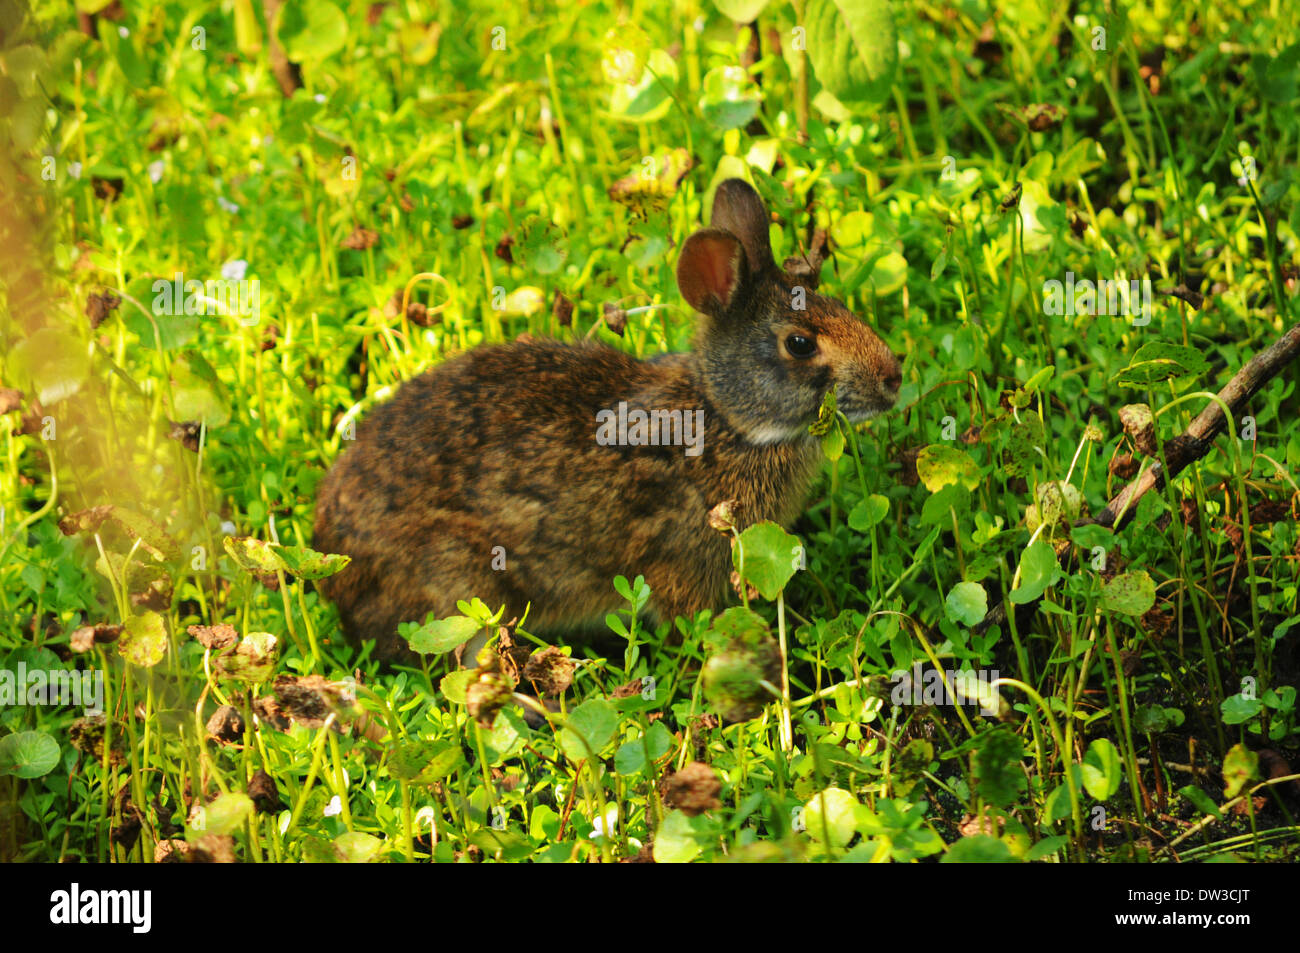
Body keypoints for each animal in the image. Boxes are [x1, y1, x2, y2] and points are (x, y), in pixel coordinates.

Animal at [313, 178, 902, 663]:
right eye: (800, 344)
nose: (893, 377)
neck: (725, 417)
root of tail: (334, 566)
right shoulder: (682, 562)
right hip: (461, 588)